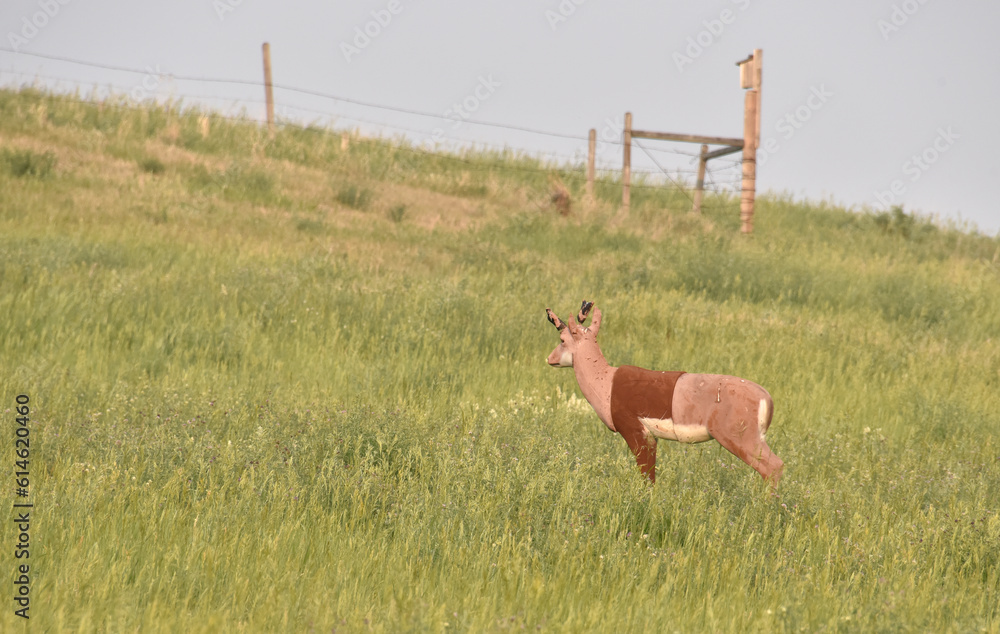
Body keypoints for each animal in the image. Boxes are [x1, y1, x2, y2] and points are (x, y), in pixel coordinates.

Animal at [545, 301, 783, 487]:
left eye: (562, 340)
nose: (549, 359)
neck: (605, 382)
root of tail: (767, 399)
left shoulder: (634, 428)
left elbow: (646, 475)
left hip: (738, 436)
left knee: (773, 466)